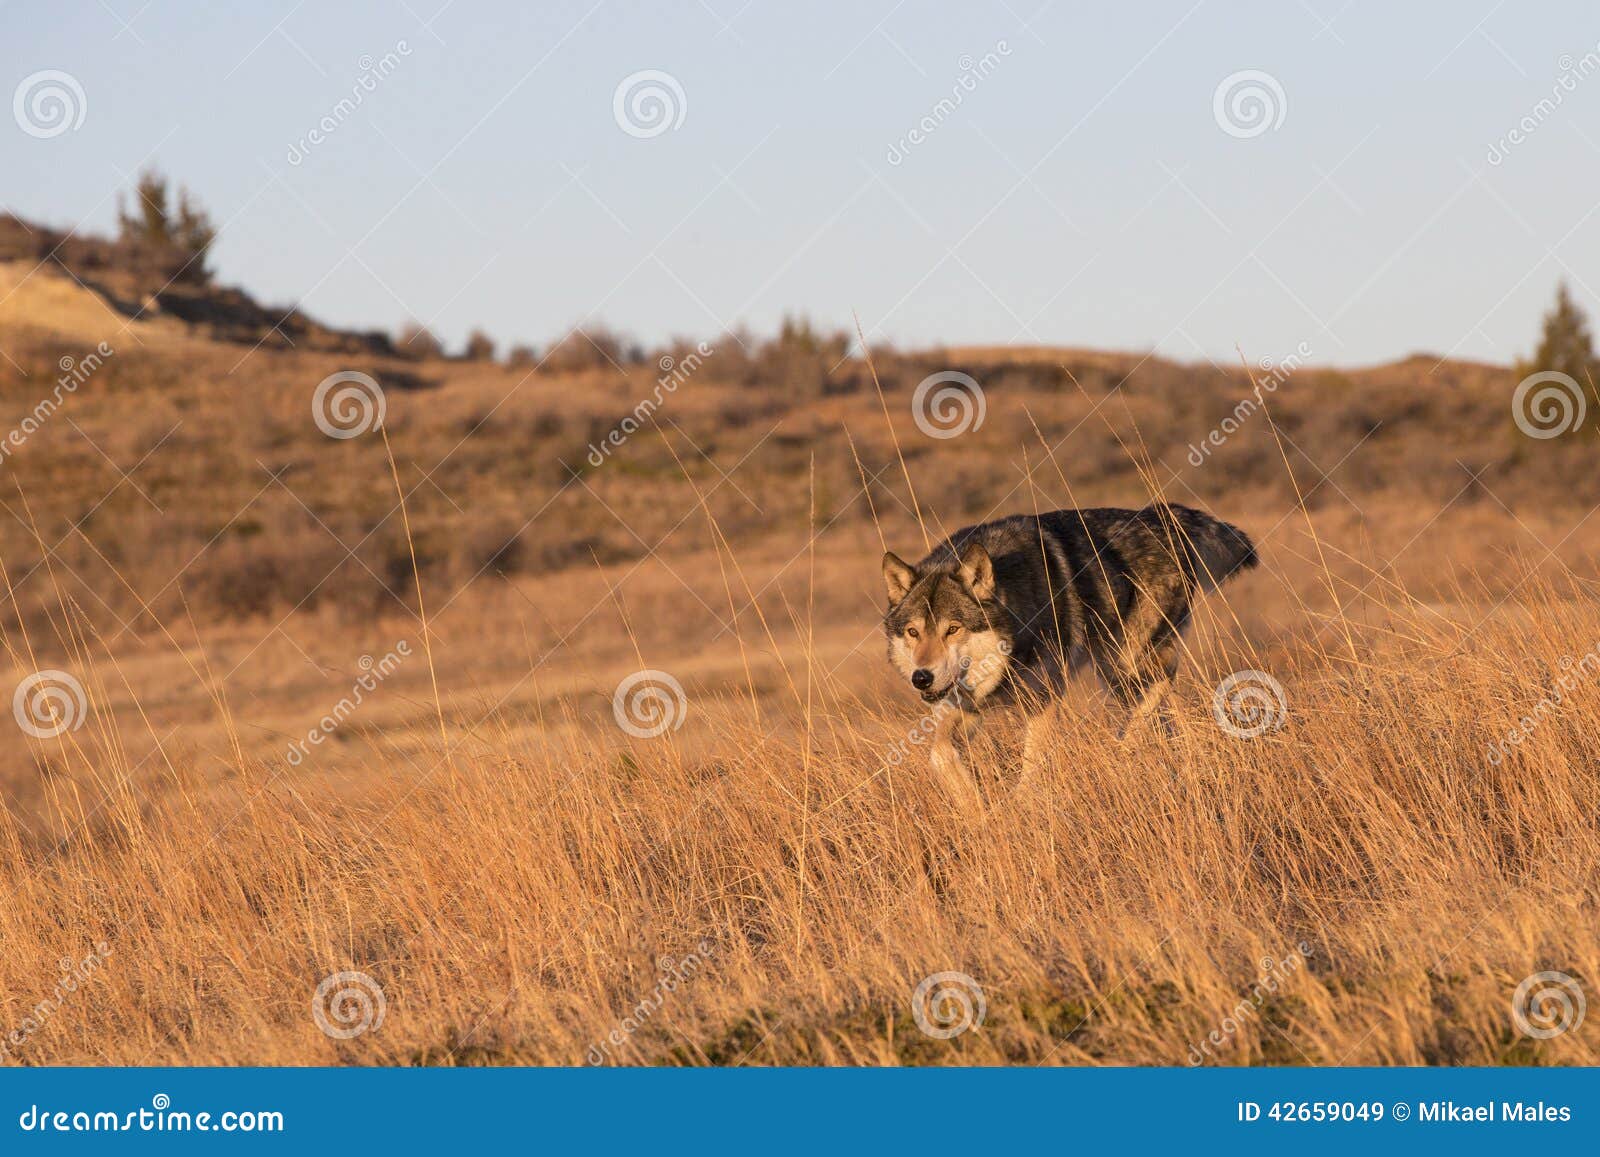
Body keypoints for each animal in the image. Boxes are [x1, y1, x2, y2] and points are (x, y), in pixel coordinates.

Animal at [881, 503, 1257, 793]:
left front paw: (1019, 809)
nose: (921, 678)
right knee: (1163, 712)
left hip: (1124, 659)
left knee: (1160, 686)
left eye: (952, 629)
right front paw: (977, 812)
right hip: (1116, 675)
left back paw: (1122, 749)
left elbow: (1032, 766)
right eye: (914, 632)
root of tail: (1161, 513)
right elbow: (941, 756)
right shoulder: (966, 706)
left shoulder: (1044, 698)